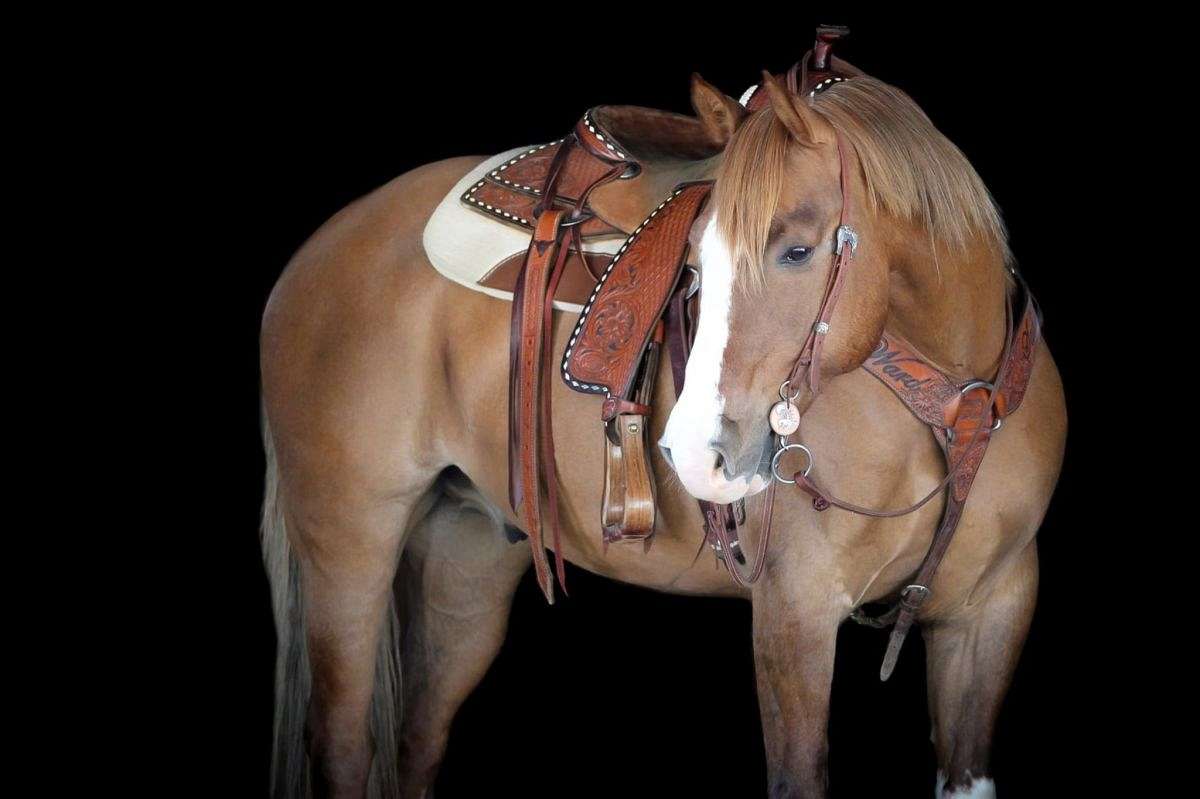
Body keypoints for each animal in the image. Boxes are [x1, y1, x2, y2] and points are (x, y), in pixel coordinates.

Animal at [259, 67, 1066, 798]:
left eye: (797, 251)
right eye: (695, 260)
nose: (695, 455)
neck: (956, 402)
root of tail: (317, 251)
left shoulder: (991, 612)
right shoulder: (795, 613)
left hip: (468, 554)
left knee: (417, 740)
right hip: (350, 543)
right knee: (341, 741)